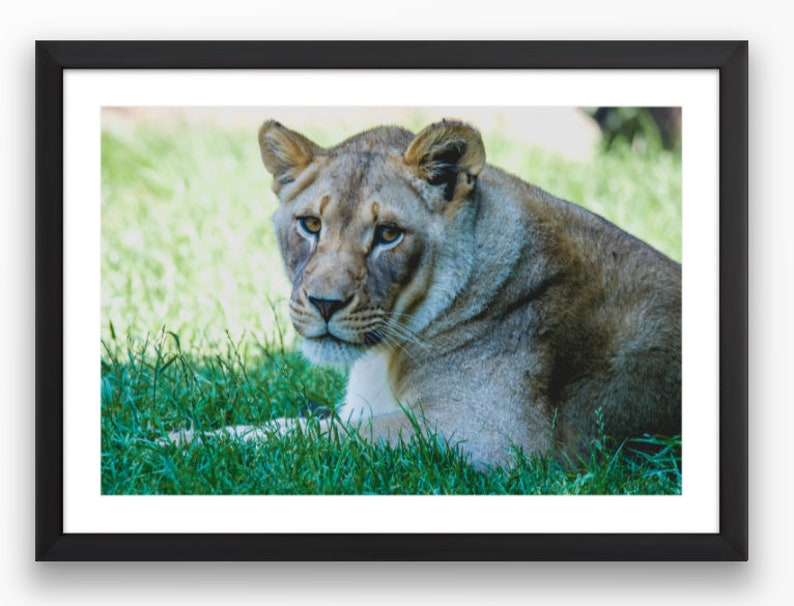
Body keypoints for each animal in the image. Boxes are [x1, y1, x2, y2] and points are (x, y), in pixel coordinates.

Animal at [173, 119, 681, 470]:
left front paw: (173, 445)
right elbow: (289, 425)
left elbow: (317, 438)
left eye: (388, 234)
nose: (324, 304)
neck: (384, 355)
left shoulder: (487, 437)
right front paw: (181, 435)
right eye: (311, 224)